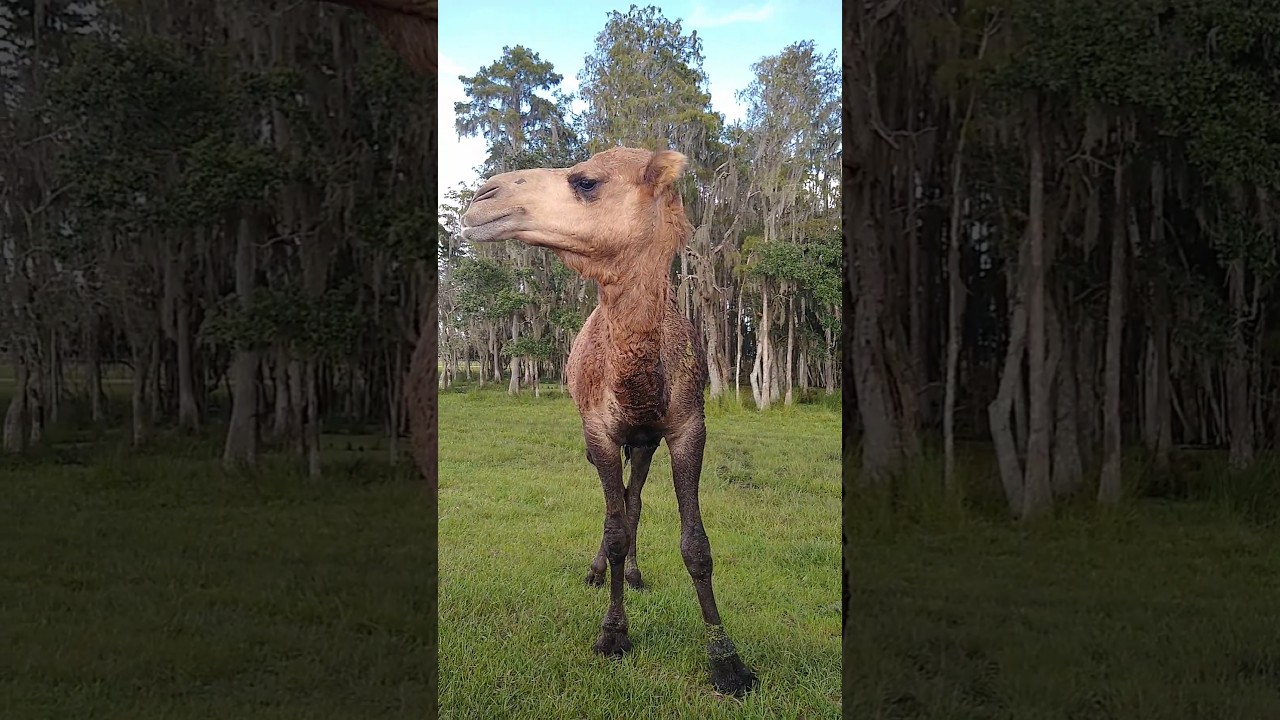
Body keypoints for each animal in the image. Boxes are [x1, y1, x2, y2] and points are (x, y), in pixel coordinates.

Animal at [459, 147, 759, 696]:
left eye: (586, 182)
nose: (482, 197)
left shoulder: (686, 427)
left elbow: (696, 544)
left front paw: (727, 662)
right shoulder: (599, 431)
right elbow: (615, 529)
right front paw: (613, 635)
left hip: (644, 443)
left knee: (632, 499)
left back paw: (635, 576)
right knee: (615, 508)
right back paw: (599, 572)